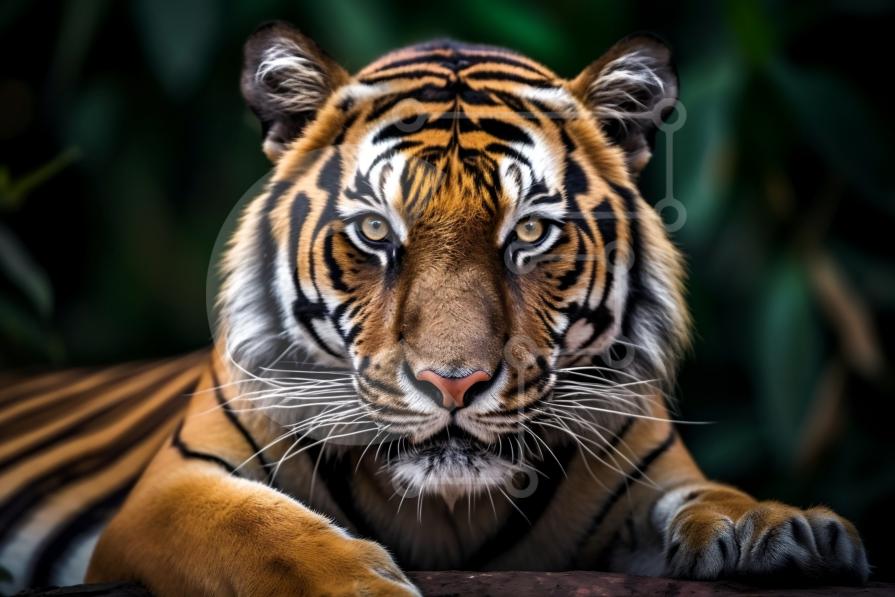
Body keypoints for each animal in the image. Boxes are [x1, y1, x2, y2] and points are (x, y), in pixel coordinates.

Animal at [0, 21, 869, 595]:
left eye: (529, 232)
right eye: (375, 231)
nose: (453, 384)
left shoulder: (649, 479)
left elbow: (715, 495)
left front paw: (782, 527)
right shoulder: (170, 492)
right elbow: (257, 530)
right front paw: (362, 588)